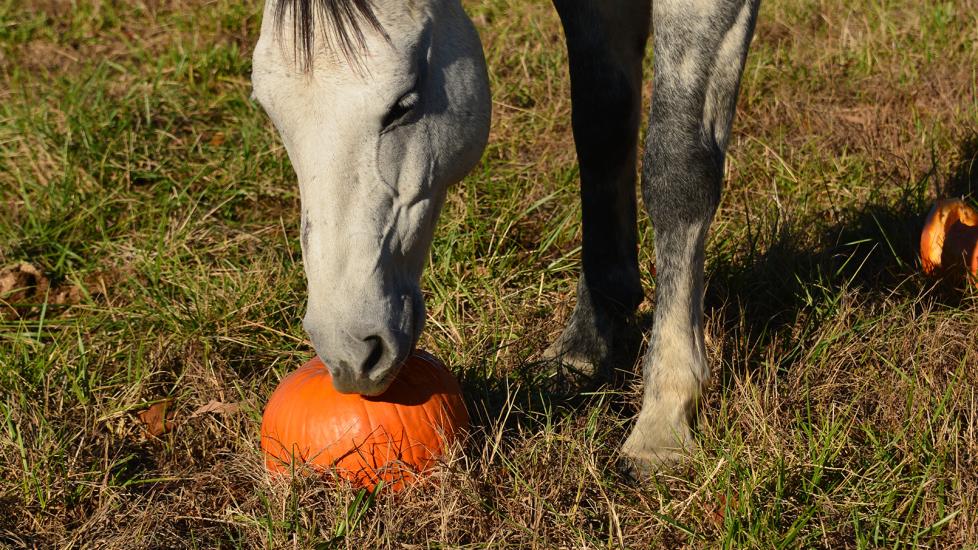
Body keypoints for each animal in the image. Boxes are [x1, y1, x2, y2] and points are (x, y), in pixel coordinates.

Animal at [250, 0, 760, 473]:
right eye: (269, 110)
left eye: (404, 104)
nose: (349, 352)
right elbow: (601, 130)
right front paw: (584, 348)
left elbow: (676, 172)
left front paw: (664, 422)